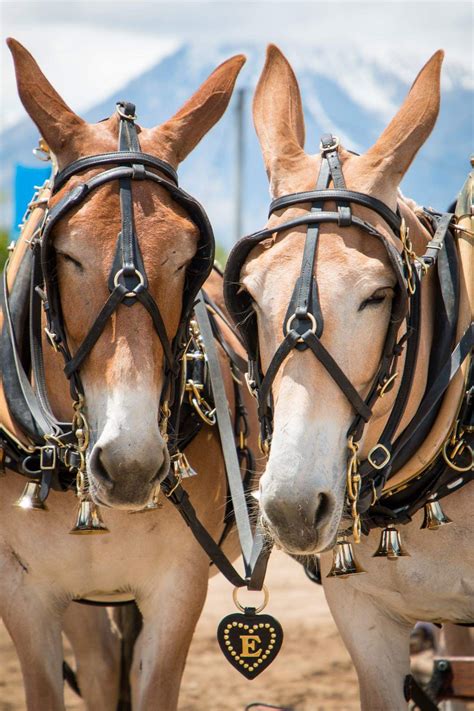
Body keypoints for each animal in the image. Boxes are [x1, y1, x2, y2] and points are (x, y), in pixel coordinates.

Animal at [0, 39, 257, 711]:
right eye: (64, 253)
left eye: (190, 257)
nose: (133, 464)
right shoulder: (25, 595)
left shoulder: (177, 589)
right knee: (94, 663)